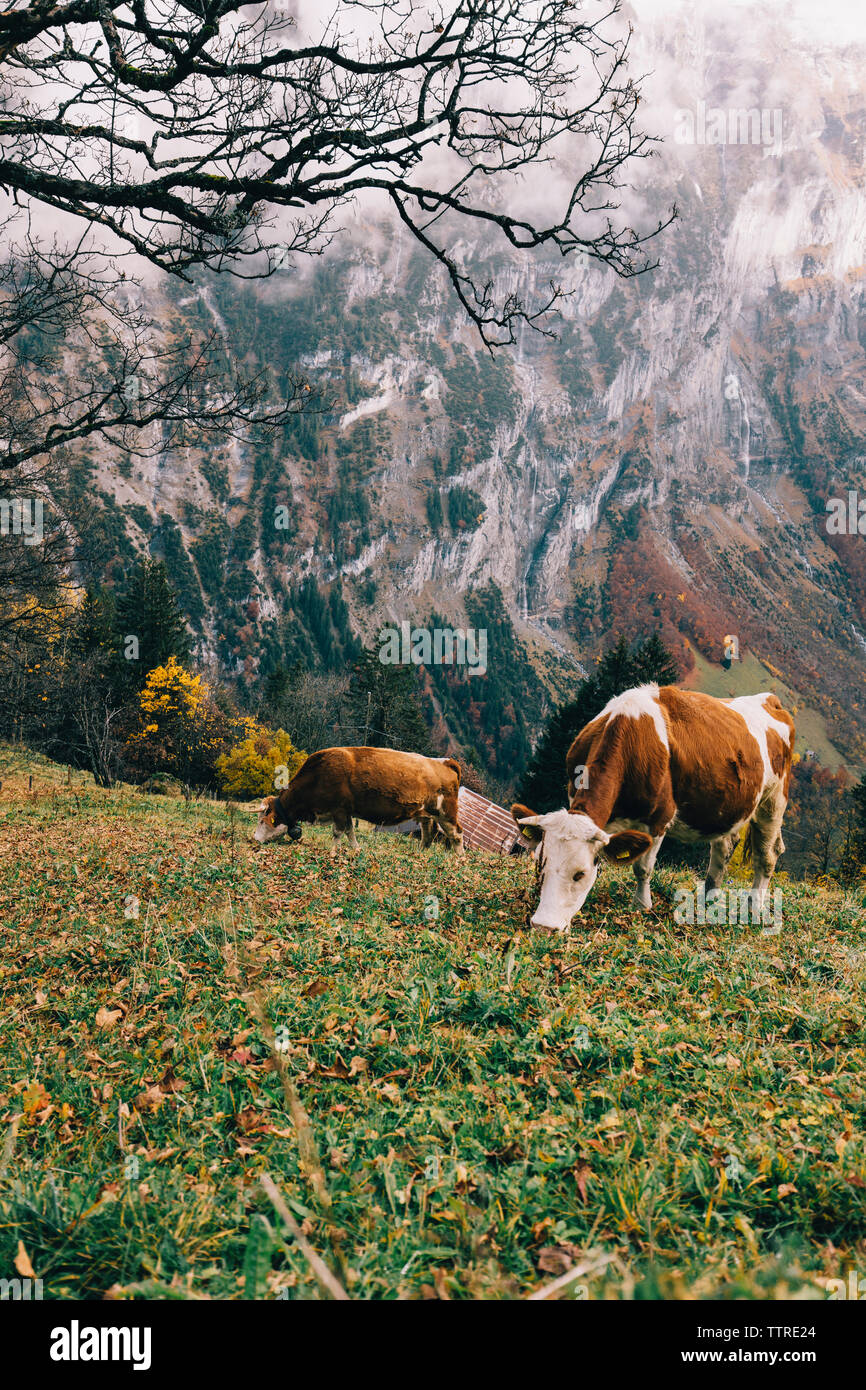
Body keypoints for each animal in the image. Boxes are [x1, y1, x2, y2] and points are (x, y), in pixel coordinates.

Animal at [254, 746, 464, 853]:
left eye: (262, 820)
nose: (254, 839)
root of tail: (443, 761)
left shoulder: (339, 810)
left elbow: (338, 832)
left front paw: (333, 852)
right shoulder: (346, 811)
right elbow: (350, 831)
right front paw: (356, 849)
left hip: (446, 812)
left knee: (456, 834)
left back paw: (458, 860)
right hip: (425, 813)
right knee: (428, 834)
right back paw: (421, 854)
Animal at [511, 684, 794, 932]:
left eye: (580, 874)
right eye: (540, 864)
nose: (543, 927)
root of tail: (770, 699)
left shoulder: (659, 818)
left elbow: (643, 868)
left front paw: (641, 905)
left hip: (774, 799)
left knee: (767, 854)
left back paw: (755, 906)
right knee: (724, 846)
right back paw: (708, 898)